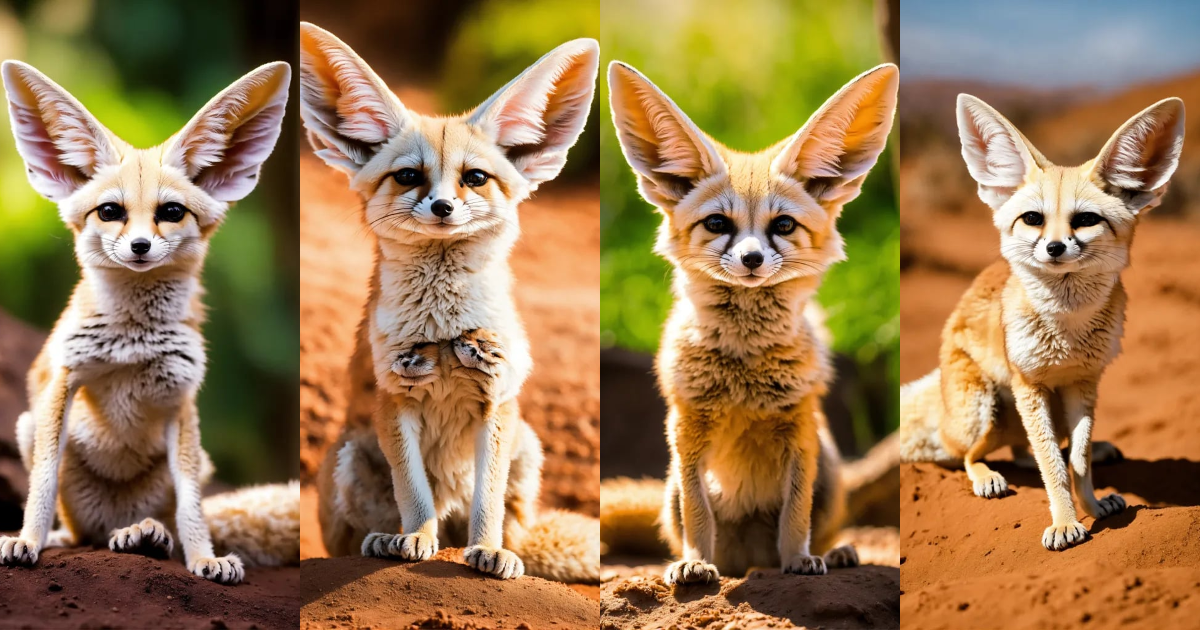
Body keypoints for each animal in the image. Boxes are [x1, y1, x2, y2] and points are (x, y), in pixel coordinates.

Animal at [0, 60, 298, 583]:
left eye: (171, 212)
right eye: (110, 212)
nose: (139, 246)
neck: (132, 341)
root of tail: (109, 520)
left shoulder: (182, 400)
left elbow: (192, 507)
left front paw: (204, 558)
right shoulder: (63, 380)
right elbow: (41, 483)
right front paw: (28, 541)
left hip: (193, 464)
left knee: (163, 524)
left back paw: (145, 535)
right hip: (26, 427)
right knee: (81, 534)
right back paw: (74, 538)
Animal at [299, 23, 600, 581]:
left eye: (474, 177)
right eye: (408, 176)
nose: (442, 206)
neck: (442, 330)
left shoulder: (495, 399)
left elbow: (487, 501)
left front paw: (487, 550)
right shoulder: (395, 396)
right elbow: (413, 492)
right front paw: (415, 538)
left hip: (528, 446)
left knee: (495, 524)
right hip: (348, 456)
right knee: (364, 535)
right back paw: (386, 540)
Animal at [607, 61, 898, 584]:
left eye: (782, 226)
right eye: (717, 224)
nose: (751, 259)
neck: (743, 368)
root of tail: (749, 558)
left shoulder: (800, 429)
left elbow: (796, 516)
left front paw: (800, 560)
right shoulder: (686, 430)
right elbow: (699, 516)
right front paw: (696, 563)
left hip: (830, 469)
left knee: (819, 528)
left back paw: (835, 553)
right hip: (672, 487)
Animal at [899, 94, 1185, 551]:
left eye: (1086, 220)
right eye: (1033, 219)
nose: (1054, 248)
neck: (1066, 329)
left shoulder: (1084, 382)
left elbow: (1077, 461)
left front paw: (1092, 505)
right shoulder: (1028, 386)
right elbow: (1051, 465)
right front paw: (1065, 523)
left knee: (1028, 451)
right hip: (989, 409)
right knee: (969, 453)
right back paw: (987, 477)